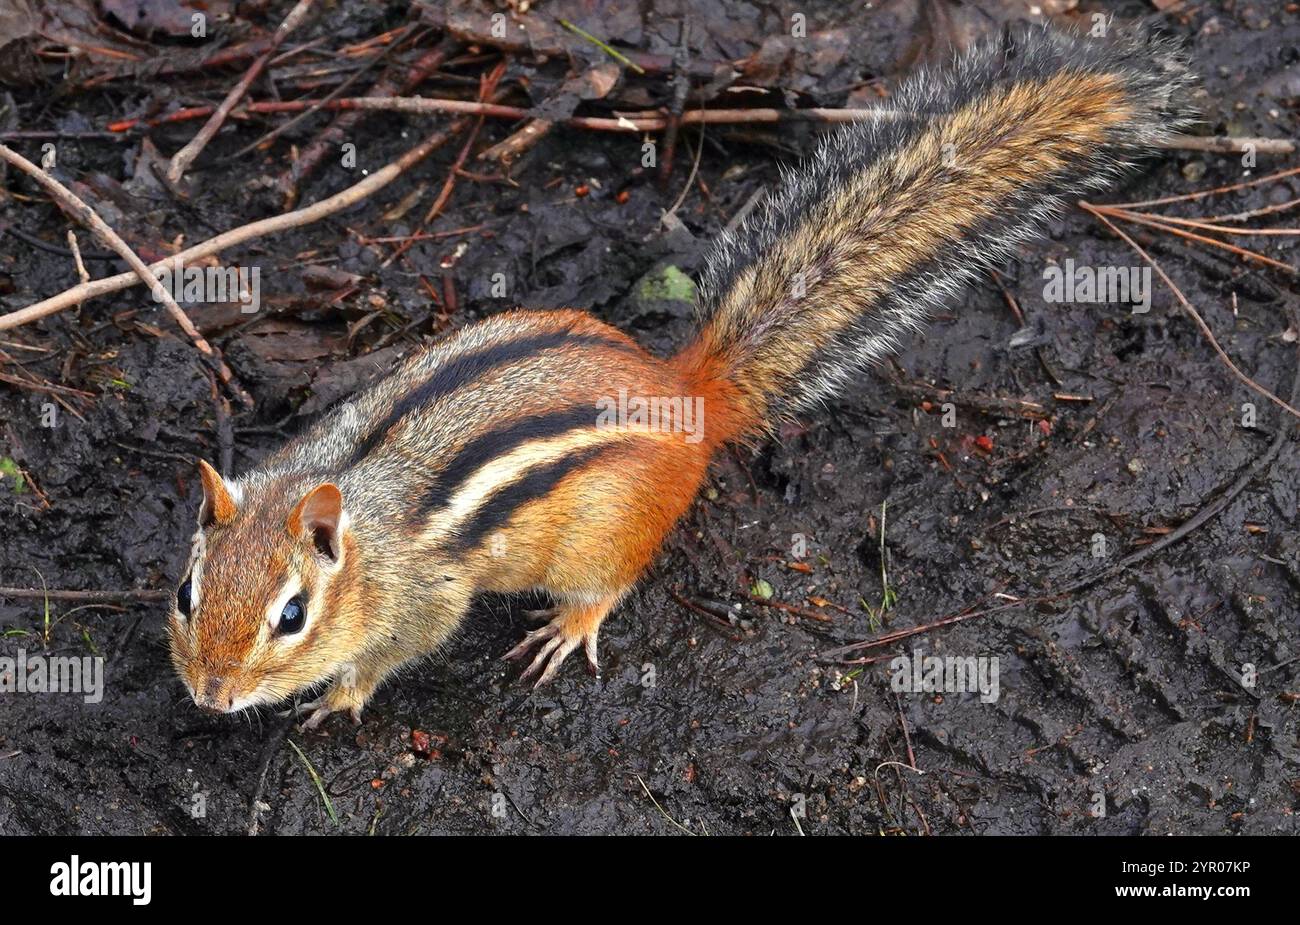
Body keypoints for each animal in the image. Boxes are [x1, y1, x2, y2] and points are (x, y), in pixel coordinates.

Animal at [169, 25, 1193, 727]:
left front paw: (342, 697)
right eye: (186, 592)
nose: (211, 696)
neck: (359, 514)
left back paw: (567, 627)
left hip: (603, 531)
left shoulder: (425, 602)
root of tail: (685, 391)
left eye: (292, 615)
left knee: (609, 584)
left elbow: (396, 653)